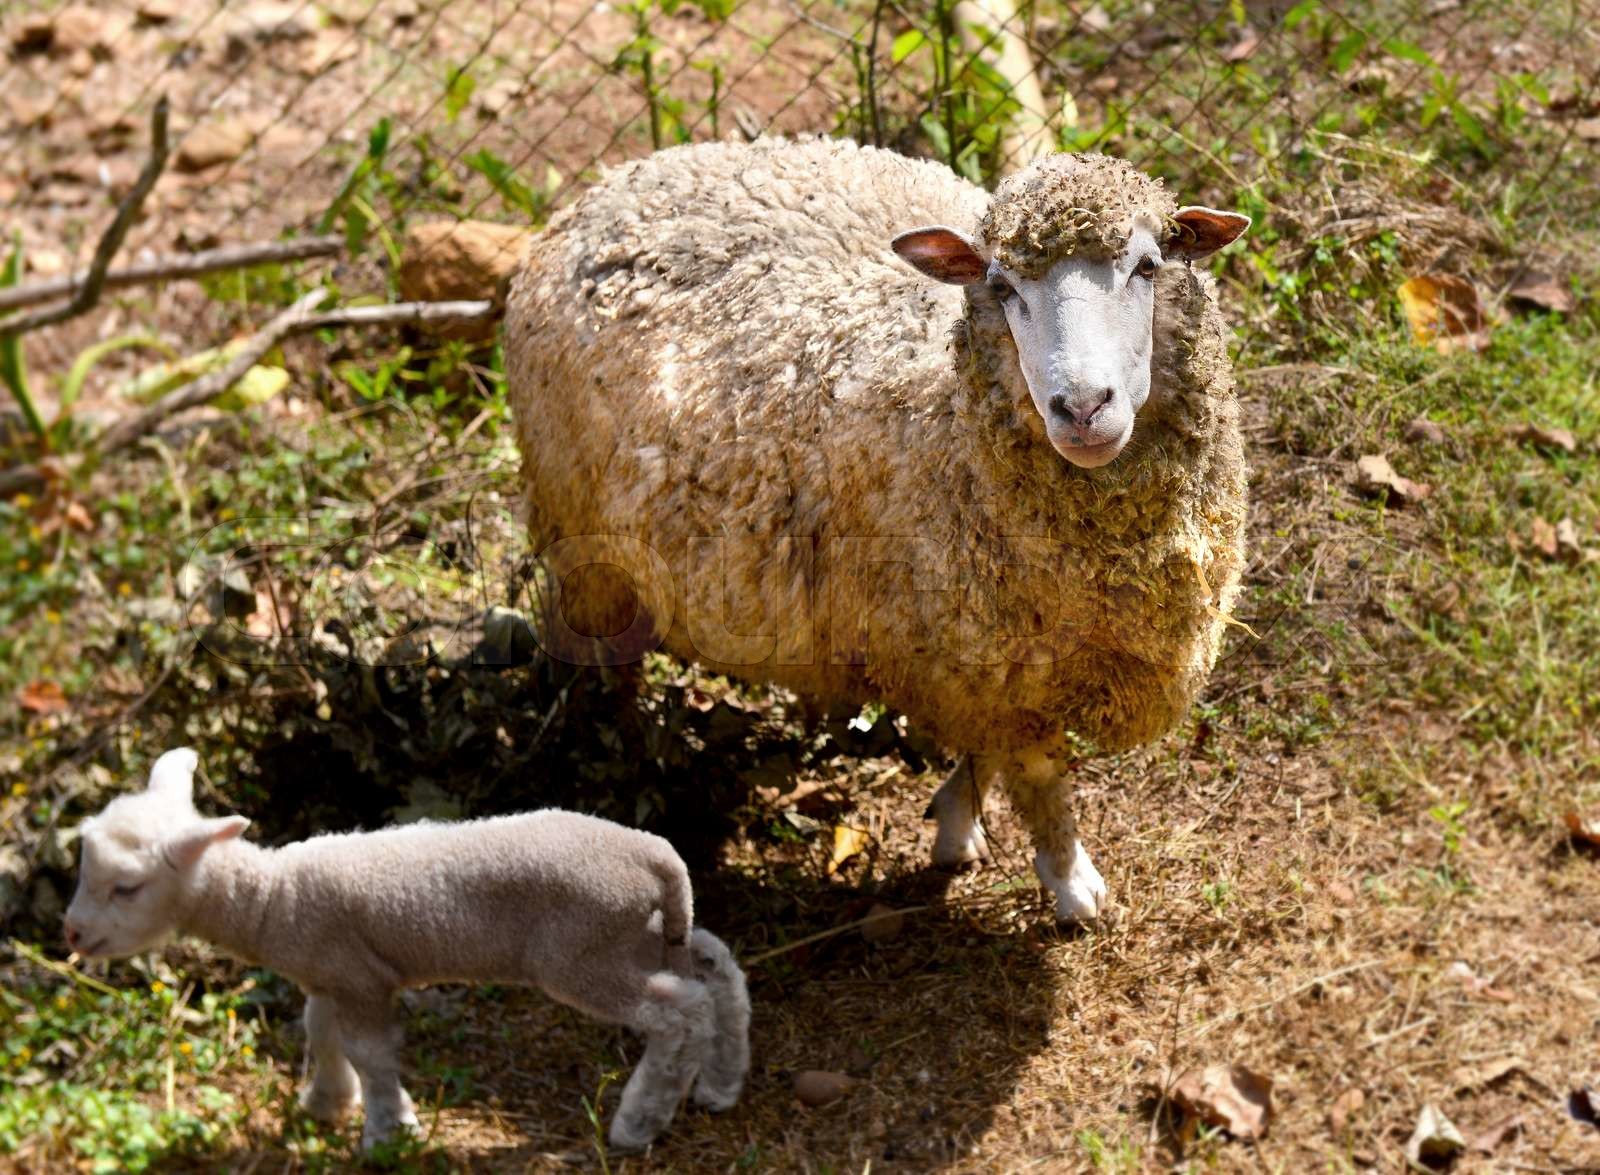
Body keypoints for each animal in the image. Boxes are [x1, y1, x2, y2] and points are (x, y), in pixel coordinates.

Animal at [61, 748, 751, 1152]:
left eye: (127, 887)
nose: (71, 934)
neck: (275, 898)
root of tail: (657, 855)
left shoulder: (358, 979)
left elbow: (369, 1052)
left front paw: (387, 1131)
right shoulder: (334, 973)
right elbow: (321, 1033)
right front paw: (327, 1102)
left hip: (585, 951)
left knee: (680, 1013)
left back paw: (639, 1122)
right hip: (649, 934)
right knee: (720, 976)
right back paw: (720, 1086)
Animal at [503, 139, 1250, 924]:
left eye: (1148, 266)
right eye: (1002, 287)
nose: (1081, 407)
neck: (947, 419)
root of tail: (607, 188)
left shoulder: (971, 649)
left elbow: (985, 750)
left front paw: (956, 817)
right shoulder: (990, 659)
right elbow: (1040, 773)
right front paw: (1070, 879)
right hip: (584, 543)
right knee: (601, 672)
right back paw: (625, 774)